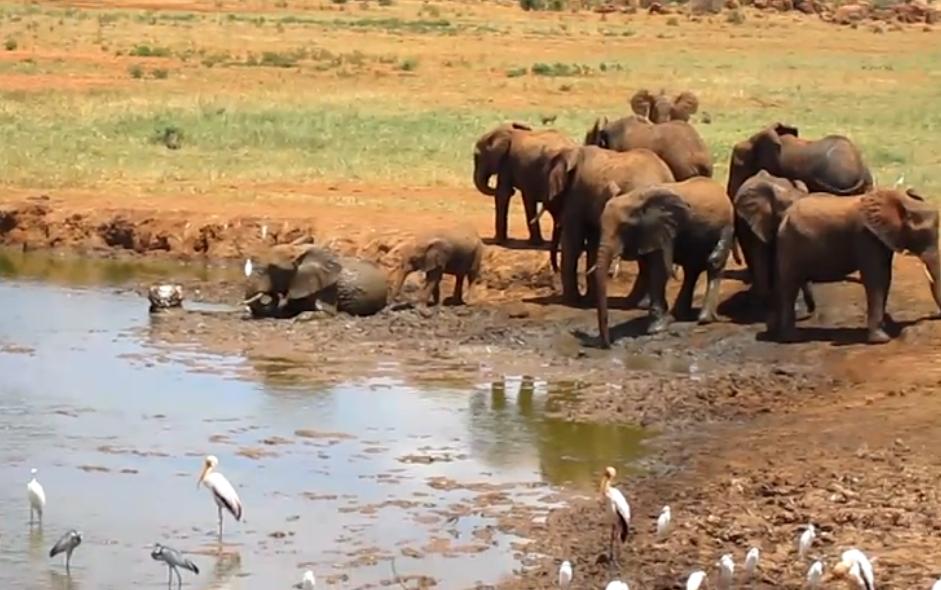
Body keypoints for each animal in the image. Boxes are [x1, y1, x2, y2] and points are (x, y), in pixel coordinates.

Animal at [543, 145, 675, 306]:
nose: (553, 273)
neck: (572, 152)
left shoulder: (577, 195)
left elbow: (573, 243)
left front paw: (571, 302)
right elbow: (592, 244)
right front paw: (588, 300)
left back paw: (635, 303)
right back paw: (636, 302)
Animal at [595, 178, 734, 347]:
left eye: (624, 227)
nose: (608, 344)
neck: (634, 199)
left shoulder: (662, 229)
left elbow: (660, 270)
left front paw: (656, 329)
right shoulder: (648, 233)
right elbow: (650, 268)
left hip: (726, 226)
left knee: (714, 261)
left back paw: (705, 319)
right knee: (692, 269)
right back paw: (679, 315)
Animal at [771, 188, 941, 344]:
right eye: (923, 235)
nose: (934, 315)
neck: (900, 198)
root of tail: (786, 215)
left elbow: (885, 277)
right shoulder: (865, 236)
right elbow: (876, 278)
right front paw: (881, 340)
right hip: (789, 243)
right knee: (790, 287)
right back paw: (792, 338)